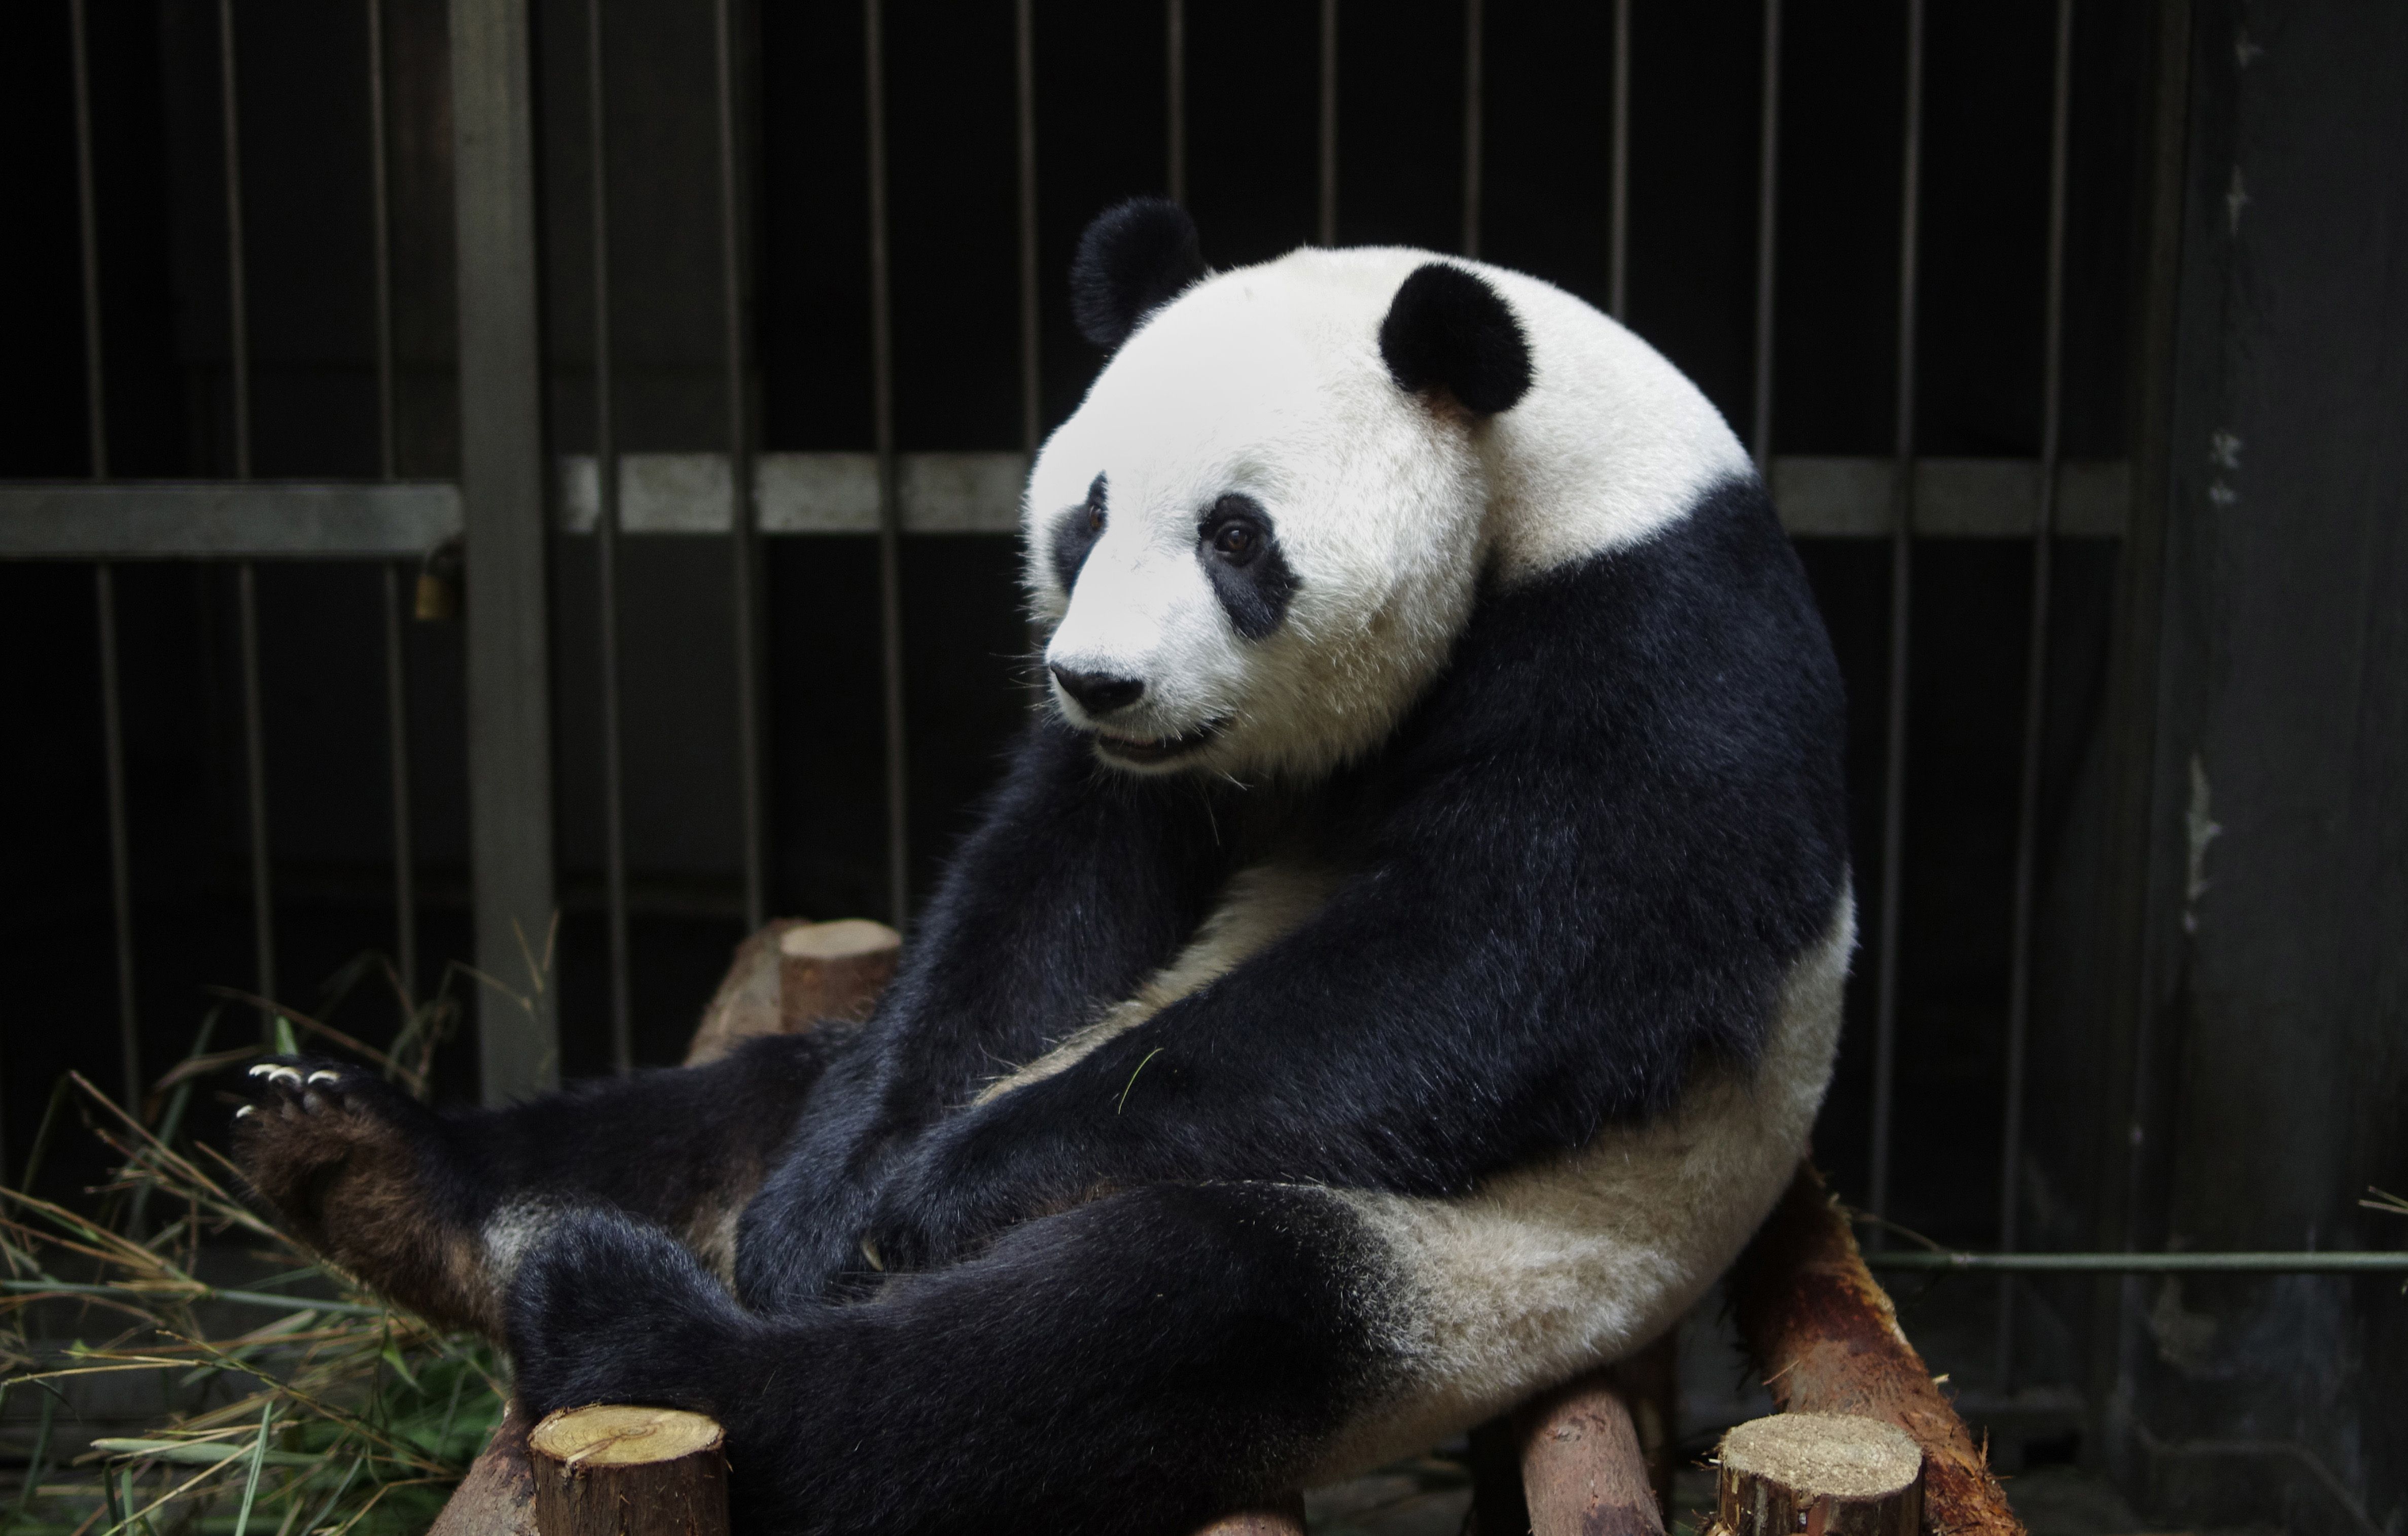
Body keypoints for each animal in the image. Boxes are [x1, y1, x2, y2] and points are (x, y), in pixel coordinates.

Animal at [234, 199, 1850, 1536]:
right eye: (1089, 510)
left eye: (1236, 534)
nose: (1097, 682)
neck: (1547, 476)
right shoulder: (1146, 787)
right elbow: (1043, 900)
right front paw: (827, 1214)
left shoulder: (1655, 633)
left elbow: (1517, 956)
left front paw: (940, 1196)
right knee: (739, 1103)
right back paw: (367, 1165)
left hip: (1487, 1270)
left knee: (1139, 1324)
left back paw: (637, 1328)